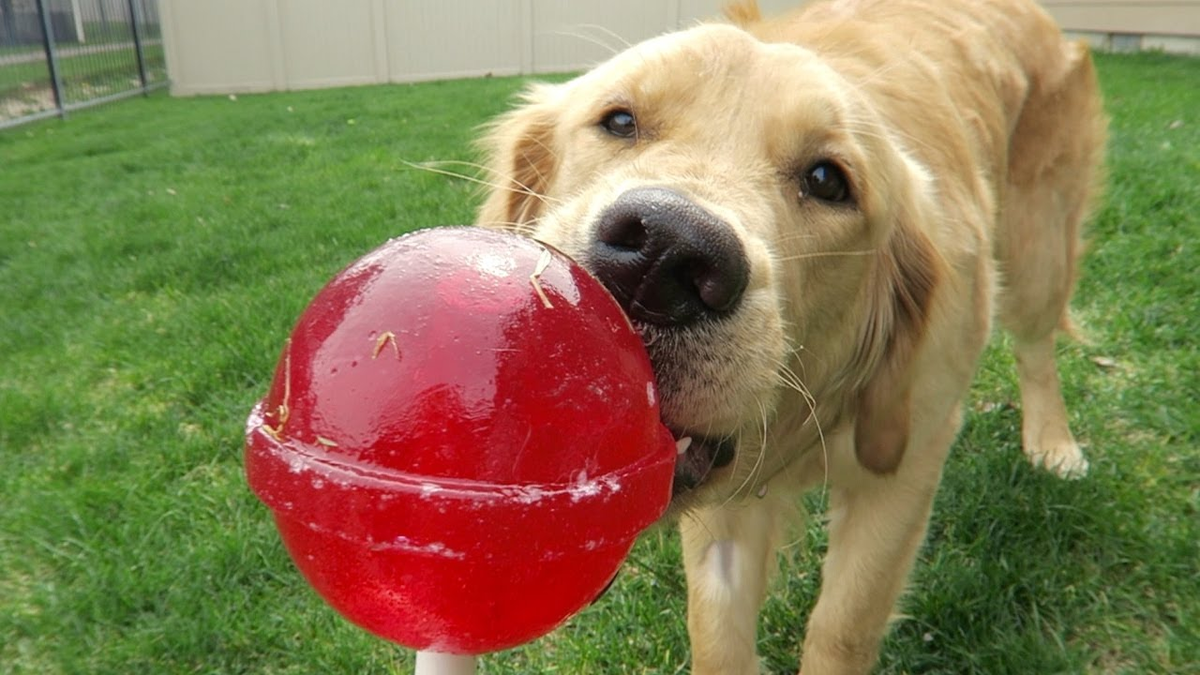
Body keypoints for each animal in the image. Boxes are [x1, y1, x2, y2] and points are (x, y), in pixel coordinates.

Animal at [470, 2, 1104, 667]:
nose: (662, 254)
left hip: (1036, 252)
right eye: (619, 121)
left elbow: (842, 627)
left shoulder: (907, 462)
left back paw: (1054, 444)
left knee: (1036, 347)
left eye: (828, 180)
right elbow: (717, 632)